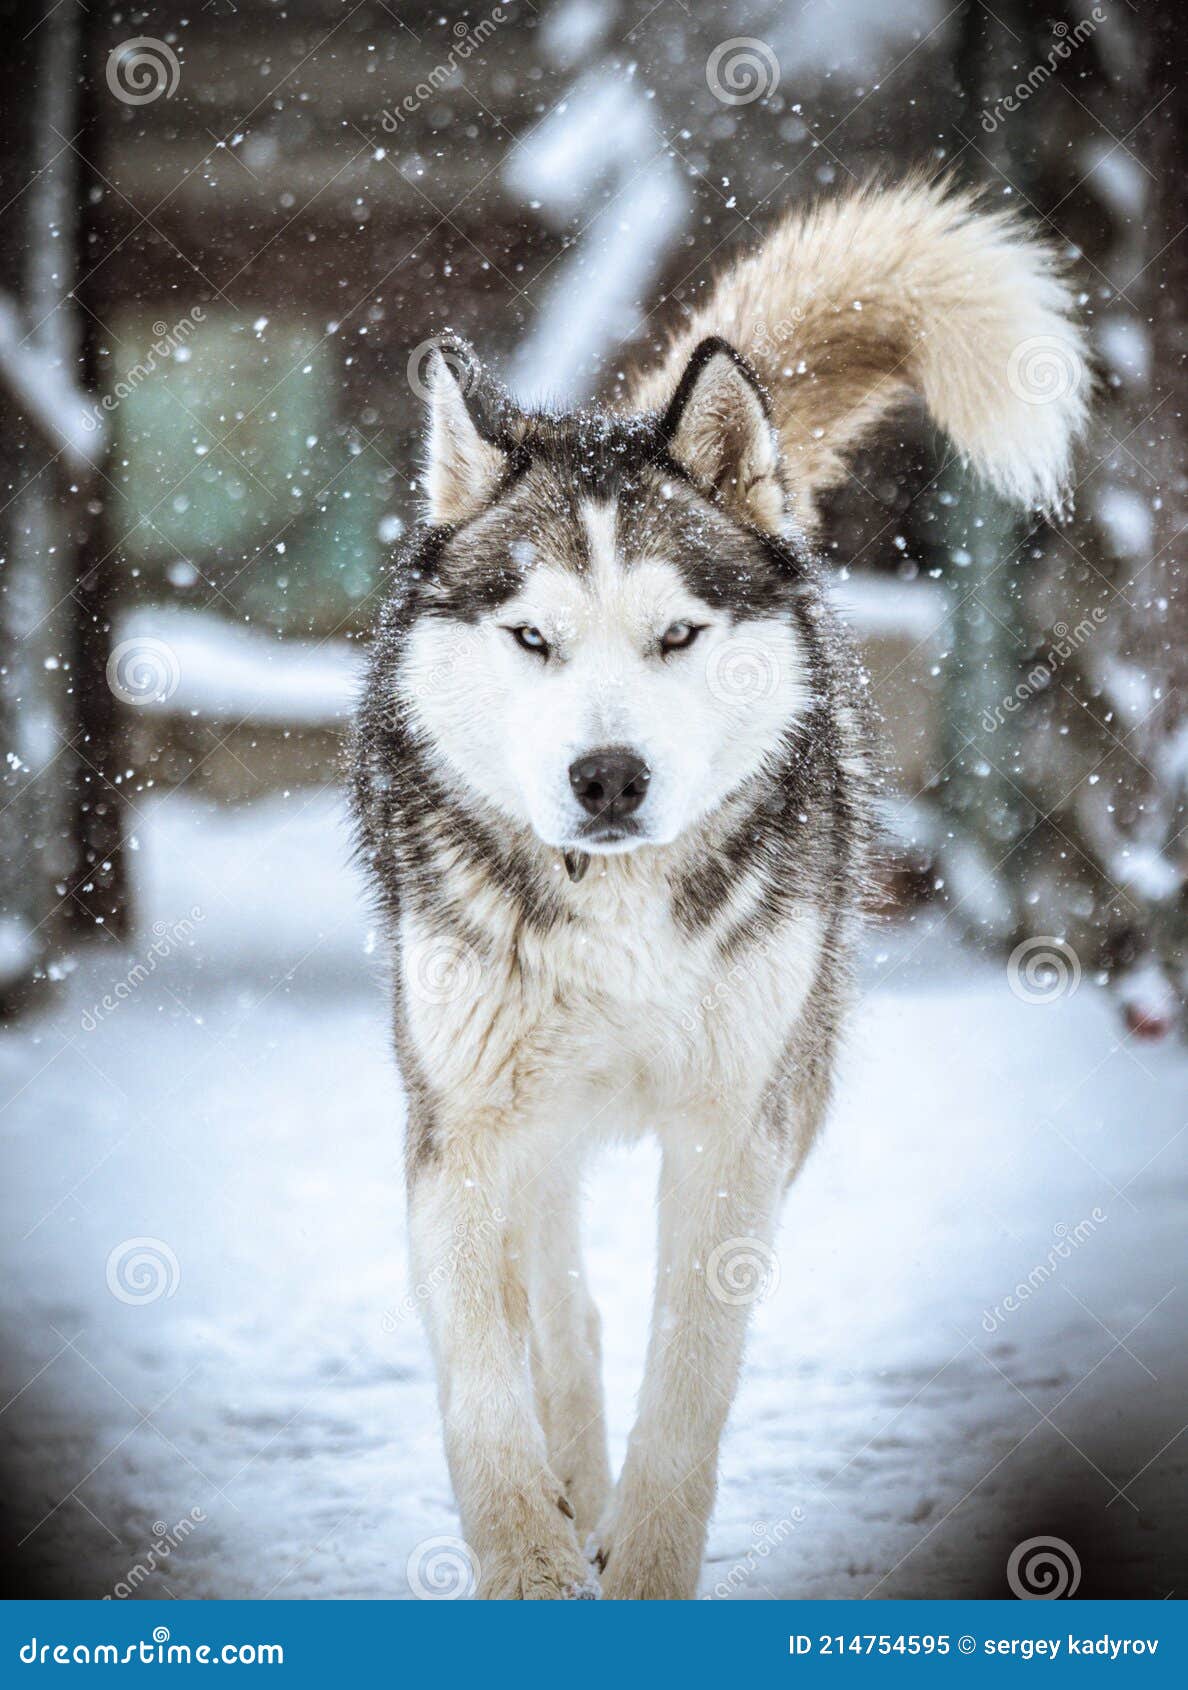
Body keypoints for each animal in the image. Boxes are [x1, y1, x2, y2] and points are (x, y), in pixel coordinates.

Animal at [352, 180, 1087, 1600]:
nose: (607, 777)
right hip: (513, 1108)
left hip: (796, 1076)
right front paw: (532, 1558)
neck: (614, 913)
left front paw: (642, 1562)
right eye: (533, 638)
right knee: (555, 1293)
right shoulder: (453, 1126)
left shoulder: (735, 1128)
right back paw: (571, 1469)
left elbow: (691, 1380)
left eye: (678, 635)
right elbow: (484, 1386)